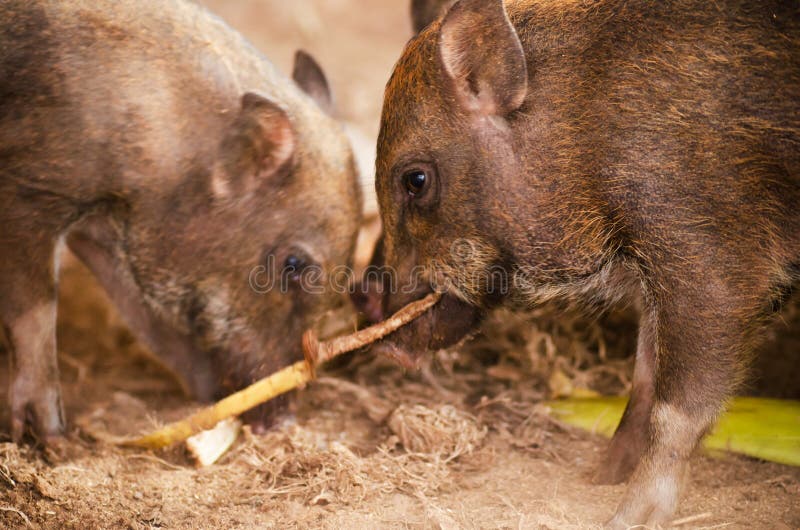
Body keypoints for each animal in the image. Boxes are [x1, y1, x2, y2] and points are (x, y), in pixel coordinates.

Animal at [0, 0, 361, 442]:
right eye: (294, 264)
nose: (283, 421)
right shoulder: (28, 191)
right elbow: (34, 312)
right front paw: (49, 438)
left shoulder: (107, 233)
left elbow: (147, 318)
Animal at [361, 0, 800, 526]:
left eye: (416, 180)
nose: (382, 337)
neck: (582, 137)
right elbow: (643, 378)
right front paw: (598, 478)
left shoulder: (713, 259)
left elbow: (678, 404)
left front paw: (626, 517)